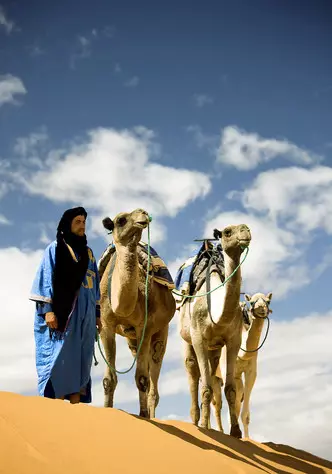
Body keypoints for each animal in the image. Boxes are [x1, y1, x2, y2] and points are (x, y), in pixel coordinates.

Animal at [98, 207, 175, 418]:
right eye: (121, 220)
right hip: (131, 340)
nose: (143, 214)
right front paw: (107, 409)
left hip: (161, 333)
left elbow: (142, 378)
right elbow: (109, 378)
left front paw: (143, 416)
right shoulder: (106, 325)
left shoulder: (145, 328)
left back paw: (151, 415)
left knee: (153, 381)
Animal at [179, 224, 252, 438]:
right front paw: (203, 425)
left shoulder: (233, 340)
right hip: (187, 339)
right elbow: (205, 388)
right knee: (193, 370)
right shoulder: (198, 338)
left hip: (215, 348)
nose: (246, 230)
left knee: (211, 374)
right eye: (227, 232)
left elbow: (230, 389)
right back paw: (195, 420)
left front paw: (235, 432)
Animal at [215, 290, 272, 438]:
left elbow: (244, 413)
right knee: (215, 403)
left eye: (268, 301)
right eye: (251, 302)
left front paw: (247, 439)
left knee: (237, 397)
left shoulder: (251, 371)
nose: (261, 308)